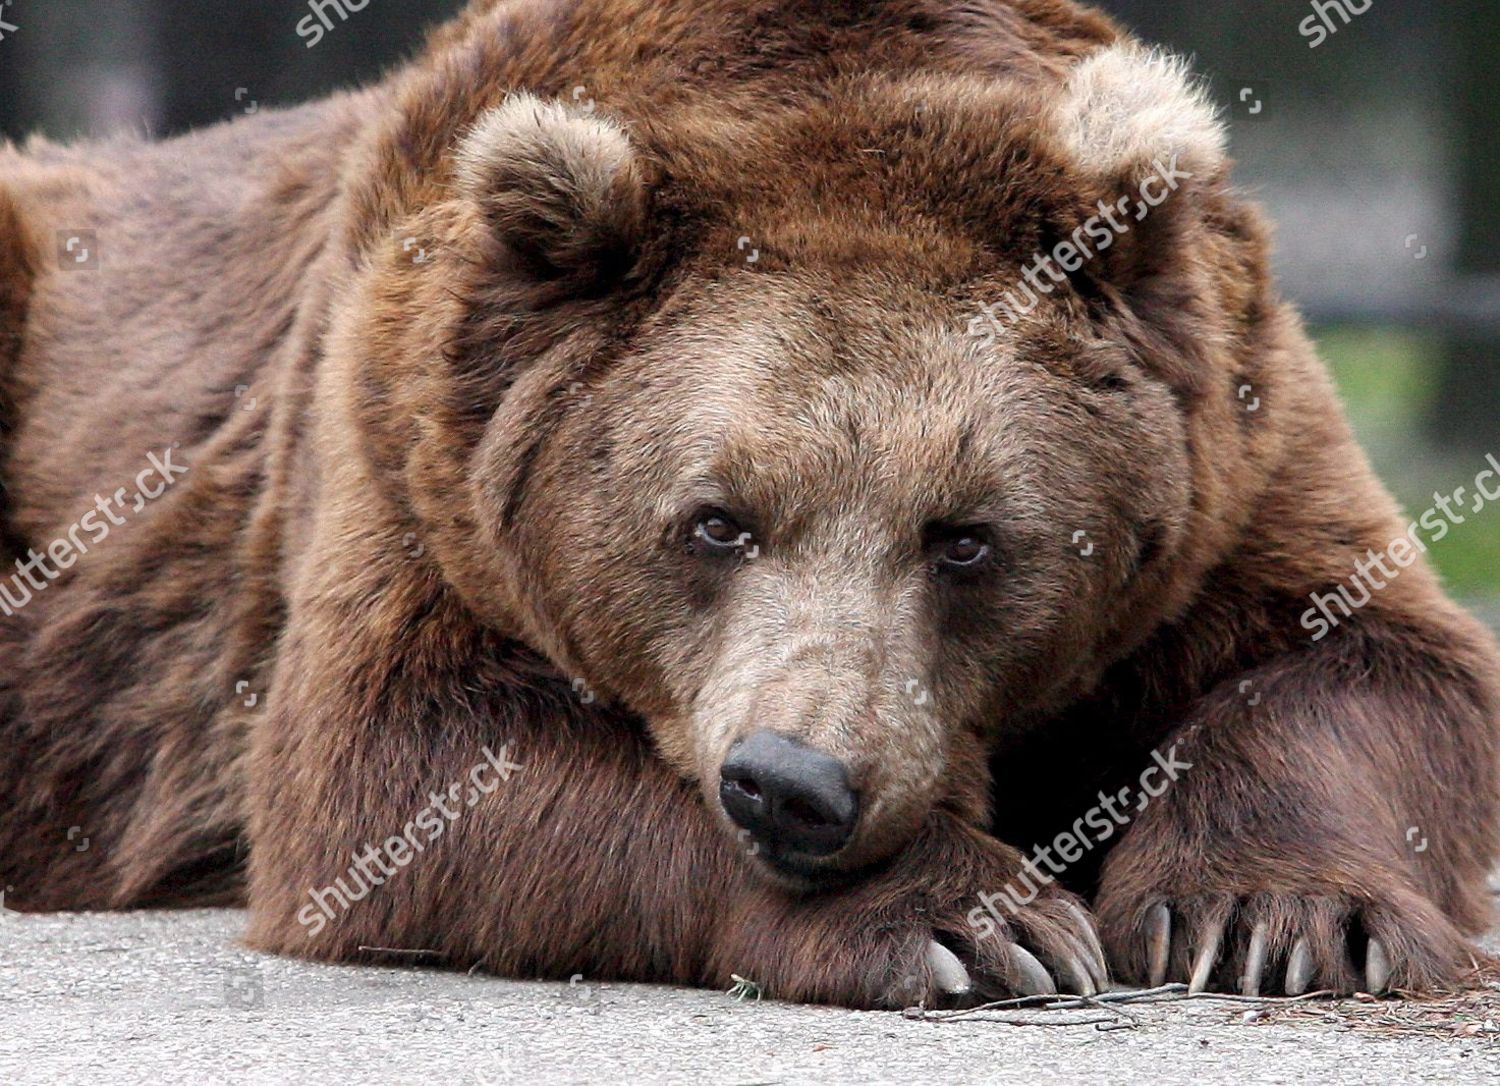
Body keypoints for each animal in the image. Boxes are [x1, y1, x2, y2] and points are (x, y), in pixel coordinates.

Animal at [1, 0, 1496, 1010]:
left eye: (965, 537)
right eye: (716, 517)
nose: (794, 782)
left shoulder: (1234, 451)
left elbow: (1376, 662)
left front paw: (1276, 917)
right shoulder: (417, 457)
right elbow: (409, 762)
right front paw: (972, 919)